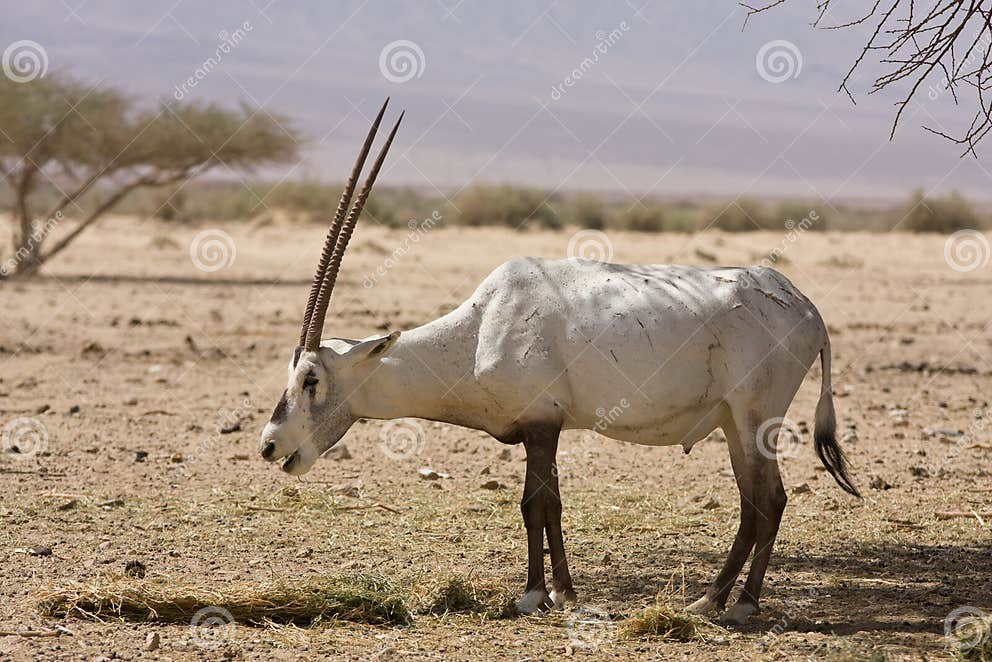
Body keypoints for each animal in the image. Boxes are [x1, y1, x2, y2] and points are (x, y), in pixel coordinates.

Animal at [259, 98, 860, 625]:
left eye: (311, 378)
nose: (269, 445)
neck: (480, 329)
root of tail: (808, 309)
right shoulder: (540, 428)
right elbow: (546, 505)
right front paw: (557, 592)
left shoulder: (541, 424)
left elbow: (538, 504)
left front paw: (540, 595)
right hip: (735, 422)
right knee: (753, 503)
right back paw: (708, 601)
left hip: (757, 417)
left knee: (770, 500)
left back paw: (743, 606)